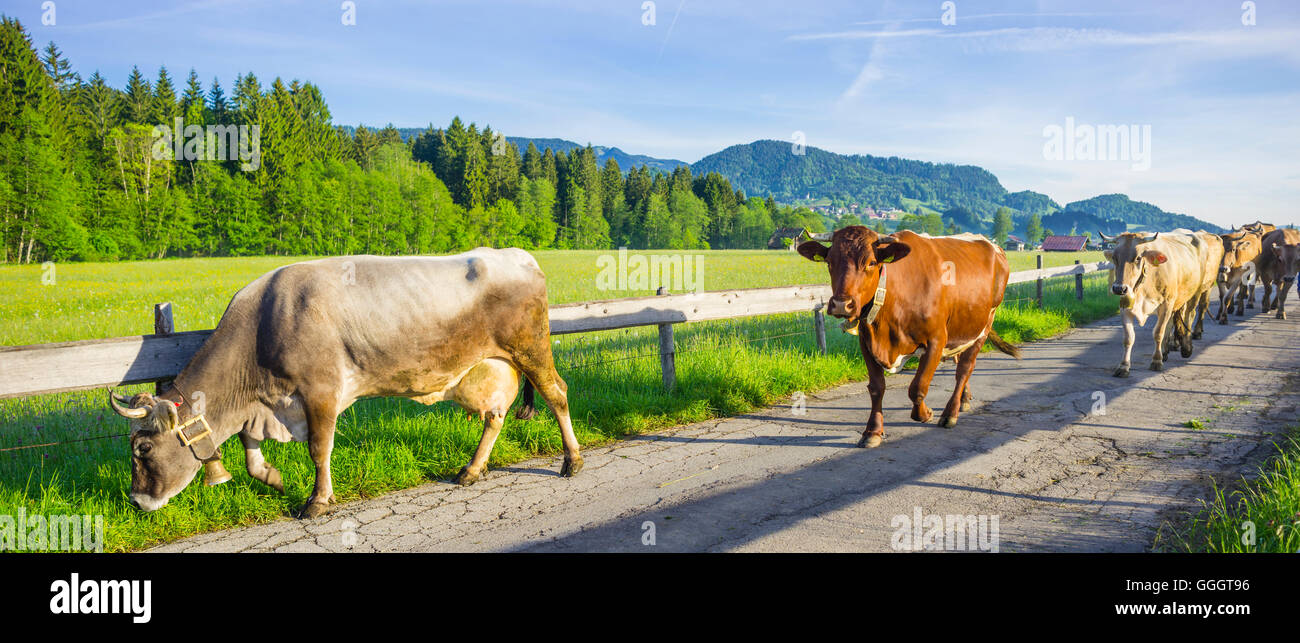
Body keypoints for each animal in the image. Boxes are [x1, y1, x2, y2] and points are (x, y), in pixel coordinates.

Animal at [108, 249, 582, 518]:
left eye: (142, 448)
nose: (136, 501)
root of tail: (519, 254)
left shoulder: (320, 391)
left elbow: (320, 449)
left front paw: (317, 500)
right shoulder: (263, 404)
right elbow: (248, 448)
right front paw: (273, 477)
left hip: (531, 348)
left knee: (557, 394)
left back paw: (572, 461)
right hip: (489, 365)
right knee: (495, 415)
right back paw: (471, 469)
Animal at [797, 227, 1020, 448]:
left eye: (871, 262)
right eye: (829, 262)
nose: (842, 305)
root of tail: (992, 245)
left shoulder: (936, 340)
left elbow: (918, 387)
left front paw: (925, 413)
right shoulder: (866, 342)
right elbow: (877, 388)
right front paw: (873, 431)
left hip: (984, 325)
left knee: (964, 368)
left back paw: (951, 413)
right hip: (962, 326)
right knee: (959, 359)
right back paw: (964, 399)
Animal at [1102, 230, 1222, 377]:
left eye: (1138, 258)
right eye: (1114, 258)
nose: (1119, 288)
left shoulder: (1166, 304)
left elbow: (1158, 333)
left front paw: (1156, 361)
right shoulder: (1125, 307)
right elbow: (1129, 338)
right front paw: (1124, 366)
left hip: (1197, 291)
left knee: (1190, 314)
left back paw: (1186, 347)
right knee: (1171, 321)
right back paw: (1165, 350)